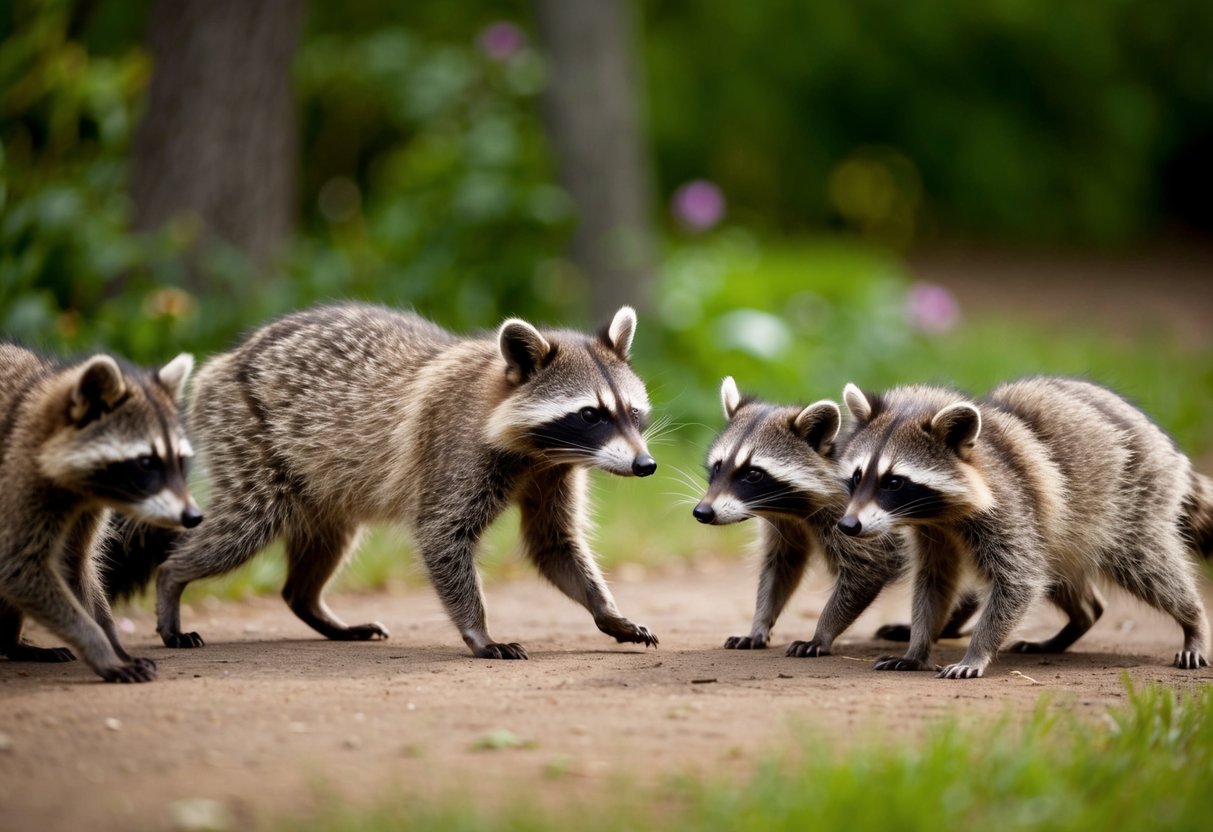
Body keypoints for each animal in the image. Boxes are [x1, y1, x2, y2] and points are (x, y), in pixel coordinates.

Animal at [0, 343, 199, 682]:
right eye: (146, 463)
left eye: (180, 460)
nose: (193, 517)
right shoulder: (18, 477)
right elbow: (17, 564)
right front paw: (99, 646)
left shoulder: (86, 505)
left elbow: (75, 563)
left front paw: (113, 642)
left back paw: (11, 643)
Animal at [150, 303, 659, 659]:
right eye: (591, 415)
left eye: (633, 413)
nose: (646, 465)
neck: (536, 451)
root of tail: (225, 362)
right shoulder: (453, 453)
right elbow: (442, 535)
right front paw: (479, 631)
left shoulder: (553, 473)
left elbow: (553, 542)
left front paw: (606, 610)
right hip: (247, 438)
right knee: (243, 526)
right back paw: (171, 578)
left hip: (322, 485)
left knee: (325, 543)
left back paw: (311, 603)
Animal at [692, 377, 974, 656]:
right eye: (717, 467)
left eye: (753, 474)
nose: (702, 512)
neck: (789, 508)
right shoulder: (785, 523)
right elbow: (781, 567)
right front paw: (760, 623)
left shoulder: (851, 515)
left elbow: (864, 572)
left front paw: (823, 631)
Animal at [839, 378, 1212, 678]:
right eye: (857, 477)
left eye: (894, 482)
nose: (848, 525)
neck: (939, 514)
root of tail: (1167, 447)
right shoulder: (934, 533)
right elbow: (934, 581)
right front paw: (918, 647)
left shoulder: (1012, 506)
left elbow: (1018, 580)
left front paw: (977, 650)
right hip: (1068, 532)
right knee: (1060, 574)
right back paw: (1079, 620)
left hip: (1131, 505)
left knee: (1147, 566)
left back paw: (1193, 620)